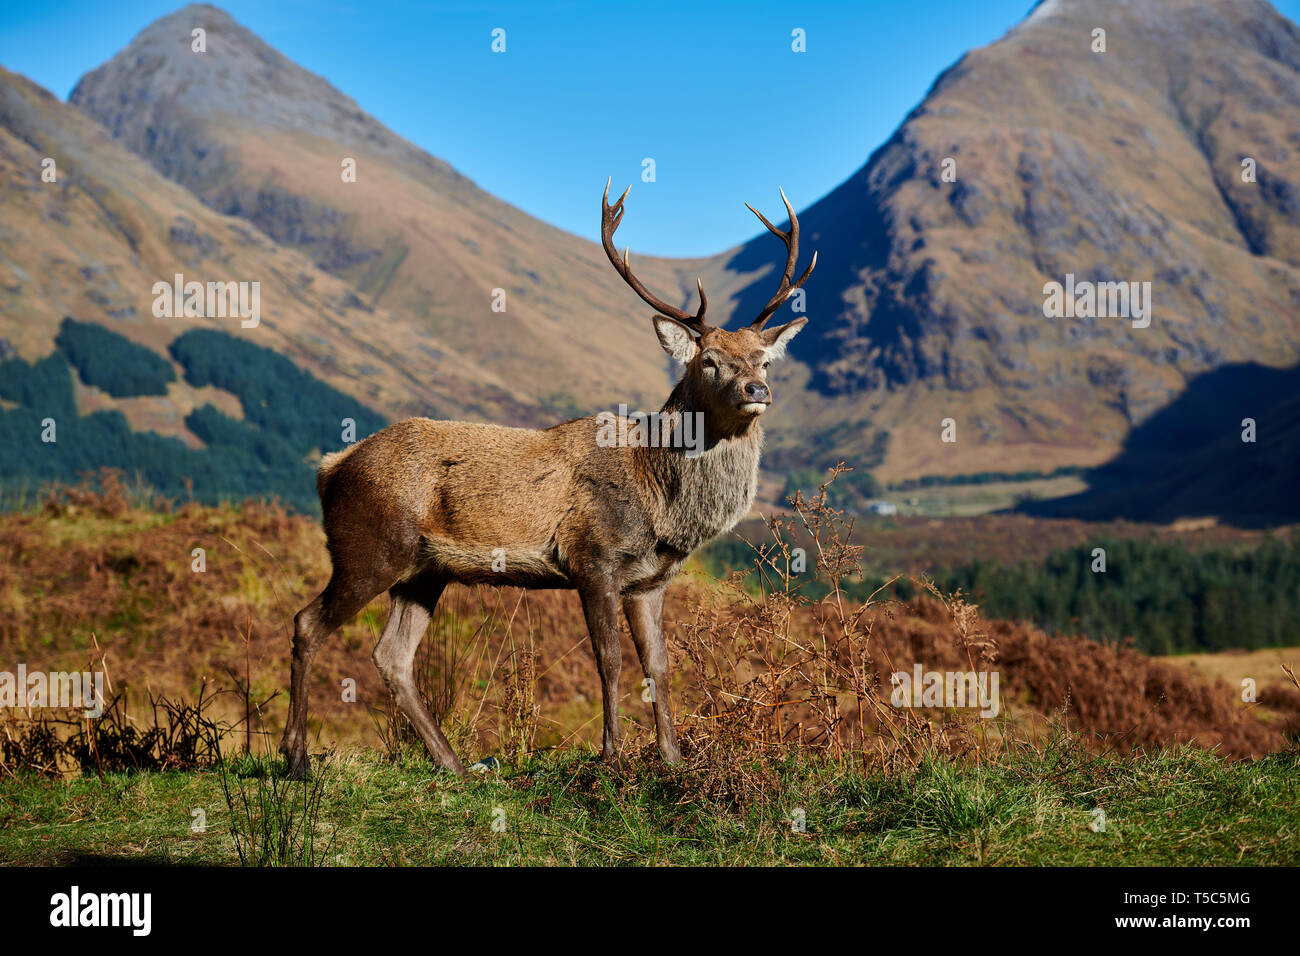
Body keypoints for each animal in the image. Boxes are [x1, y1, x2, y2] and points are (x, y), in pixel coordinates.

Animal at [280, 180, 816, 777]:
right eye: (710, 362)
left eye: (764, 360)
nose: (756, 389)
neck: (660, 502)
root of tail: (330, 468)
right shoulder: (593, 558)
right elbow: (610, 662)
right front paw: (612, 758)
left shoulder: (650, 581)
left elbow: (659, 667)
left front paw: (673, 762)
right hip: (369, 547)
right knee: (307, 623)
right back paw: (296, 758)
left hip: (423, 571)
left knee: (392, 656)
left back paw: (455, 765)